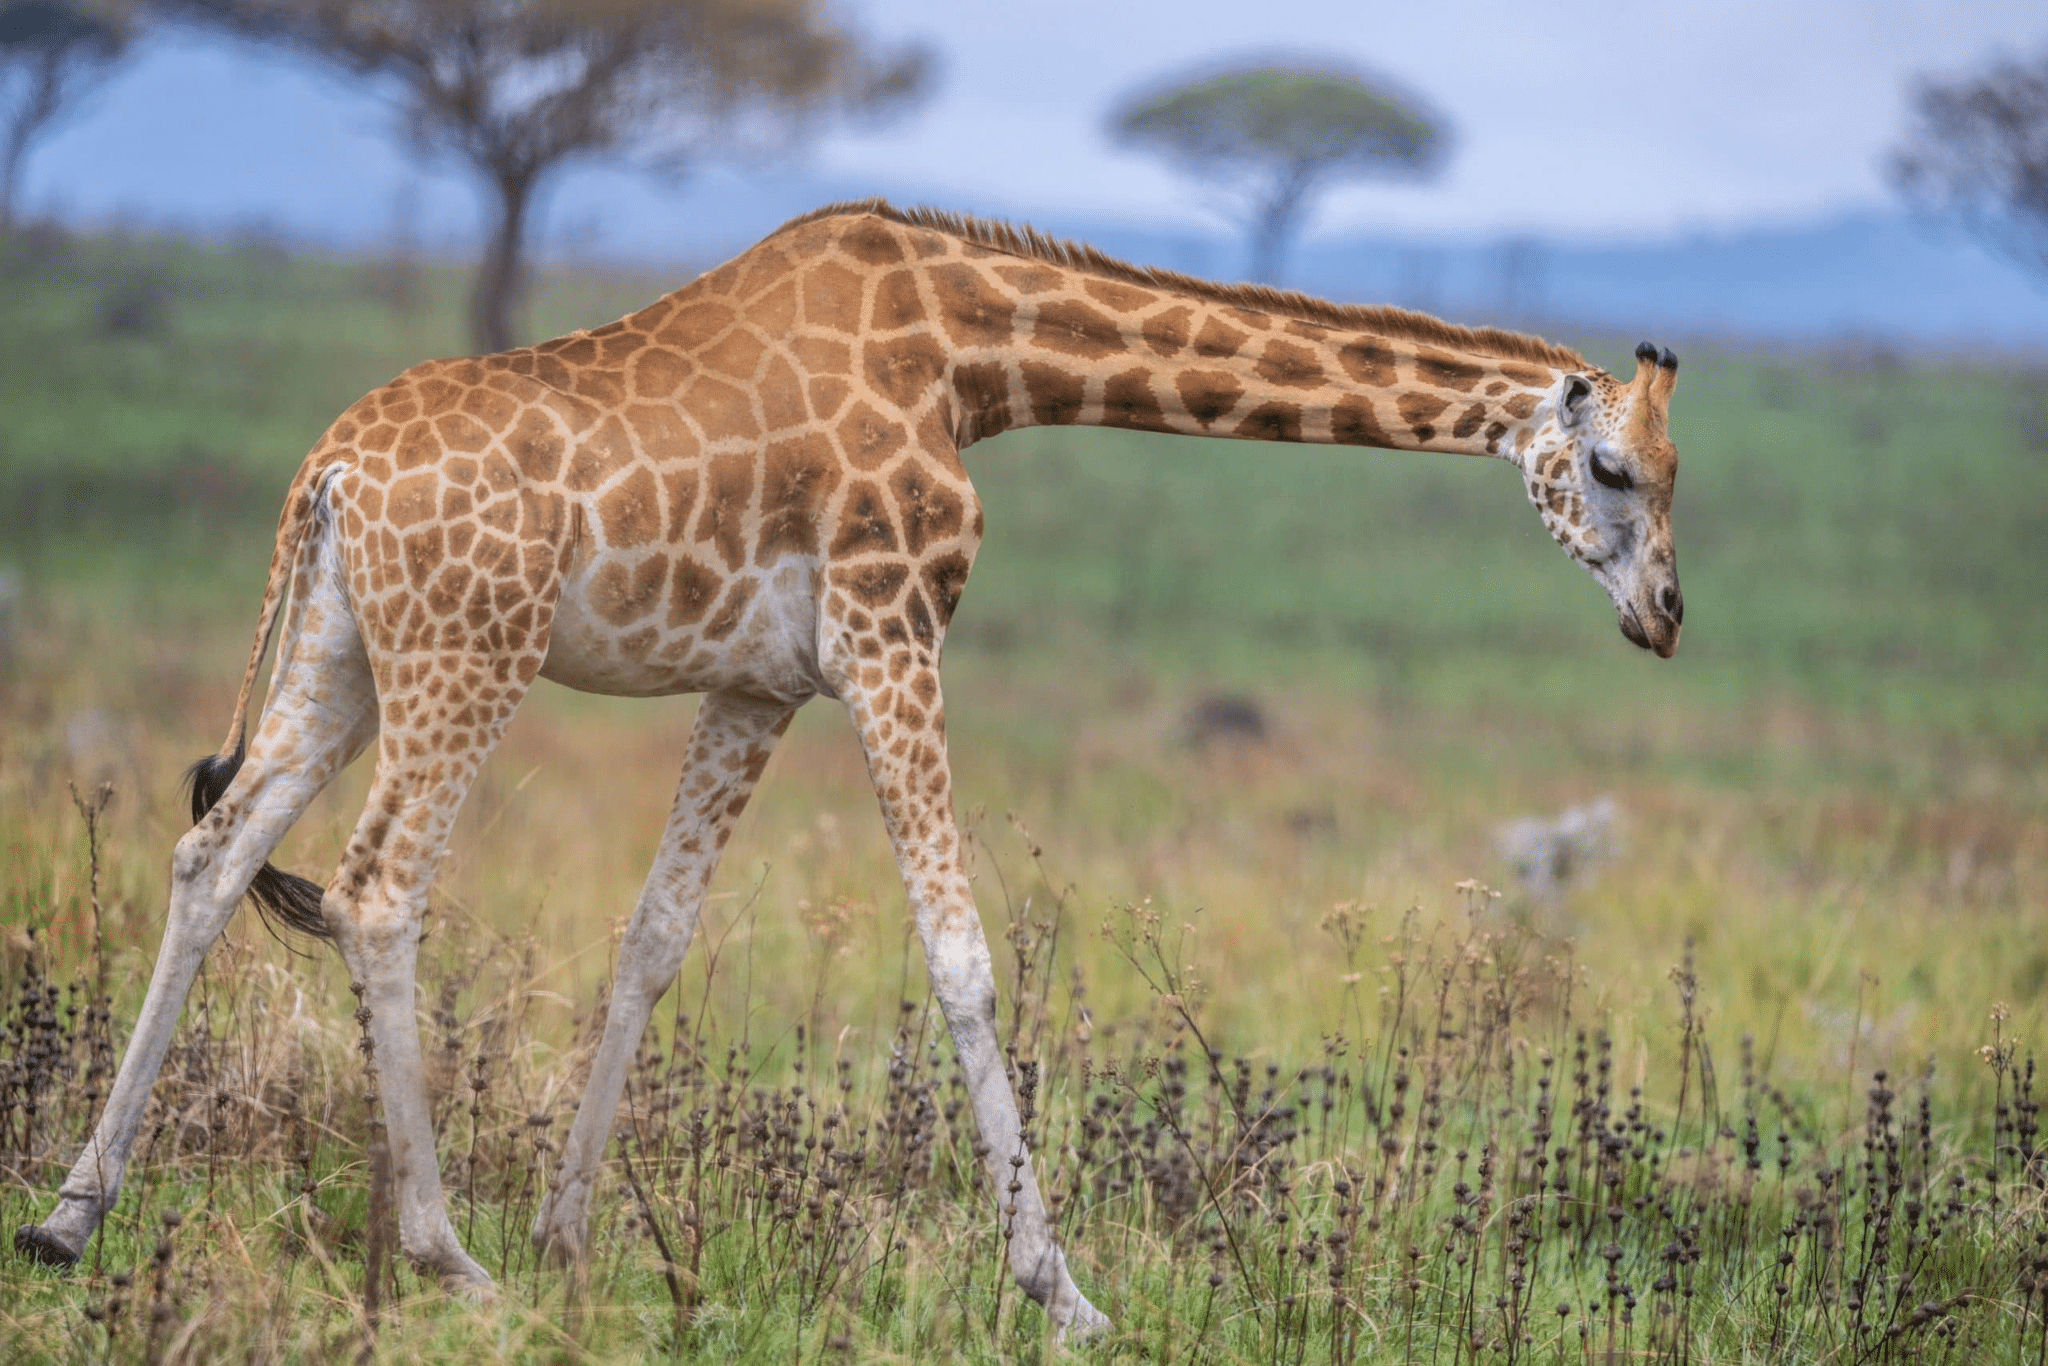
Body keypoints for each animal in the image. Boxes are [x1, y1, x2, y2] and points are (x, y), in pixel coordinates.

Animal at [15, 200, 1683, 1337]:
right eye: (1612, 470)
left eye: (1682, 480)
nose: (1666, 617)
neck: (972, 355)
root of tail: (329, 473)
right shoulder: (890, 631)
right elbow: (961, 955)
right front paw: (1065, 1293)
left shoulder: (760, 682)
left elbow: (653, 935)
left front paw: (570, 1238)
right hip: (464, 652)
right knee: (374, 888)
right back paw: (442, 1253)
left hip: (343, 654)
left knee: (215, 849)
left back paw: (70, 1216)